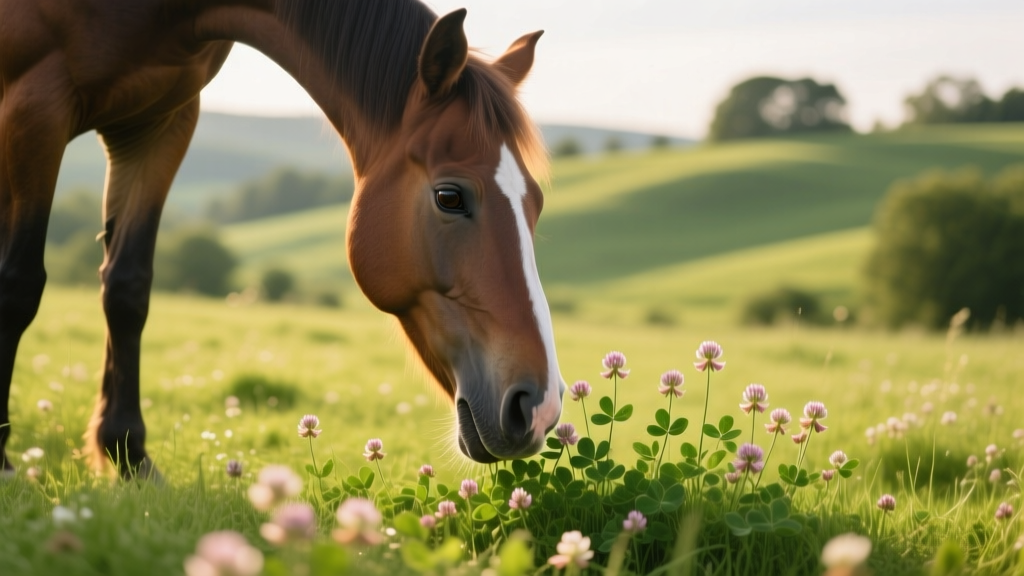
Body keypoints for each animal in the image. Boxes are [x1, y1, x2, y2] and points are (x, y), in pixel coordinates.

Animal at [0, 0, 564, 478]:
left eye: (535, 203)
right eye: (450, 196)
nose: (539, 407)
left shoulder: (158, 125)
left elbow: (127, 290)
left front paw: (129, 457)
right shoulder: (35, 105)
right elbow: (19, 284)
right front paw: (6, 462)